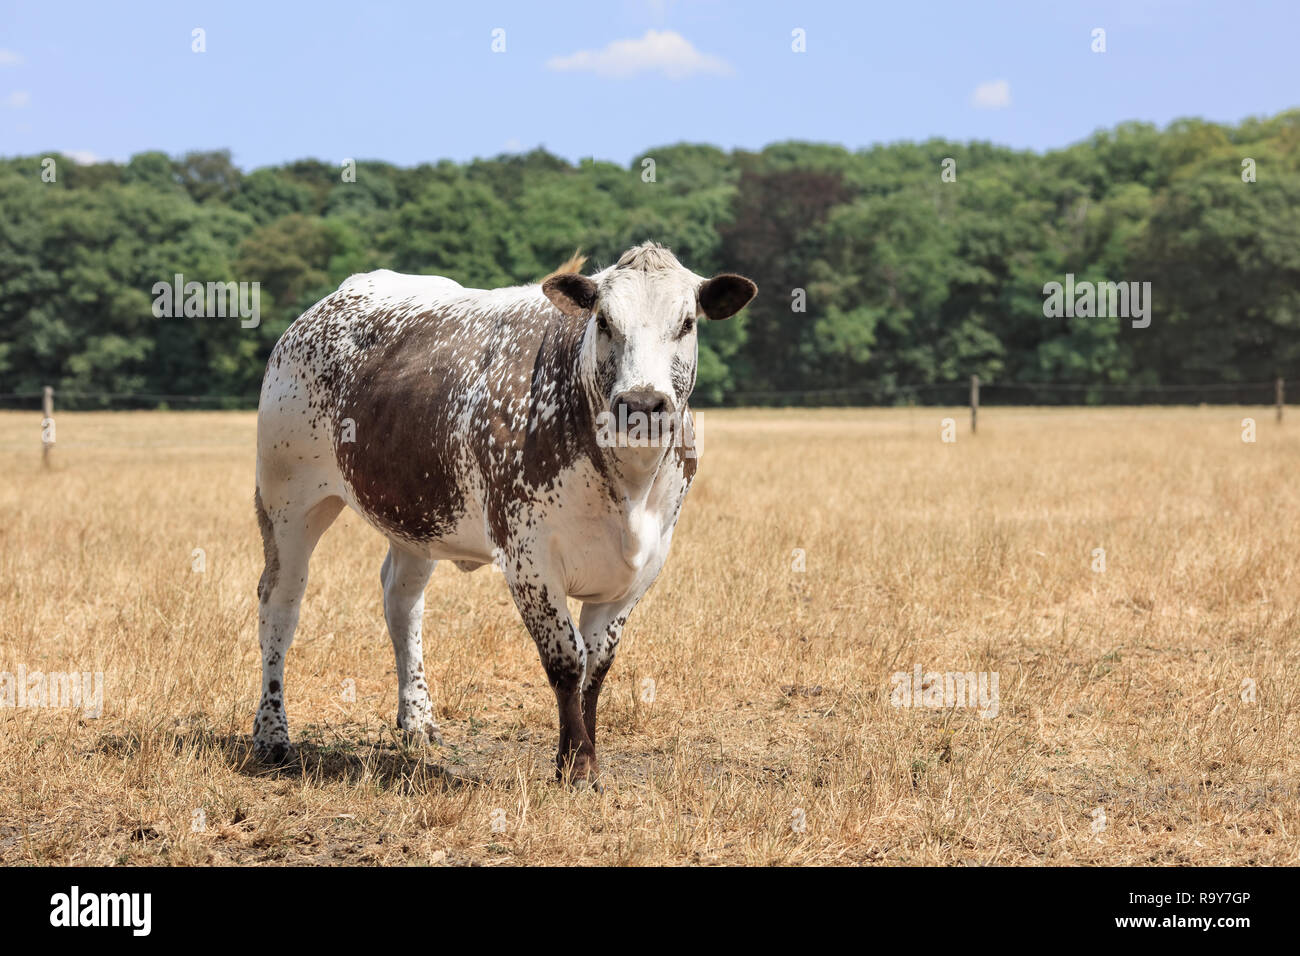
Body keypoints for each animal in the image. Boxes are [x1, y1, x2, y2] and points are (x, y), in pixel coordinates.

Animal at [252, 242, 756, 785]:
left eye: (686, 323)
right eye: (604, 321)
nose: (642, 403)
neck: (629, 488)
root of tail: (332, 301)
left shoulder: (640, 569)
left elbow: (596, 668)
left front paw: (587, 758)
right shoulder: (528, 560)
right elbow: (566, 662)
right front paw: (575, 765)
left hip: (417, 519)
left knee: (402, 603)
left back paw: (417, 720)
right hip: (288, 501)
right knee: (280, 603)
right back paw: (272, 735)